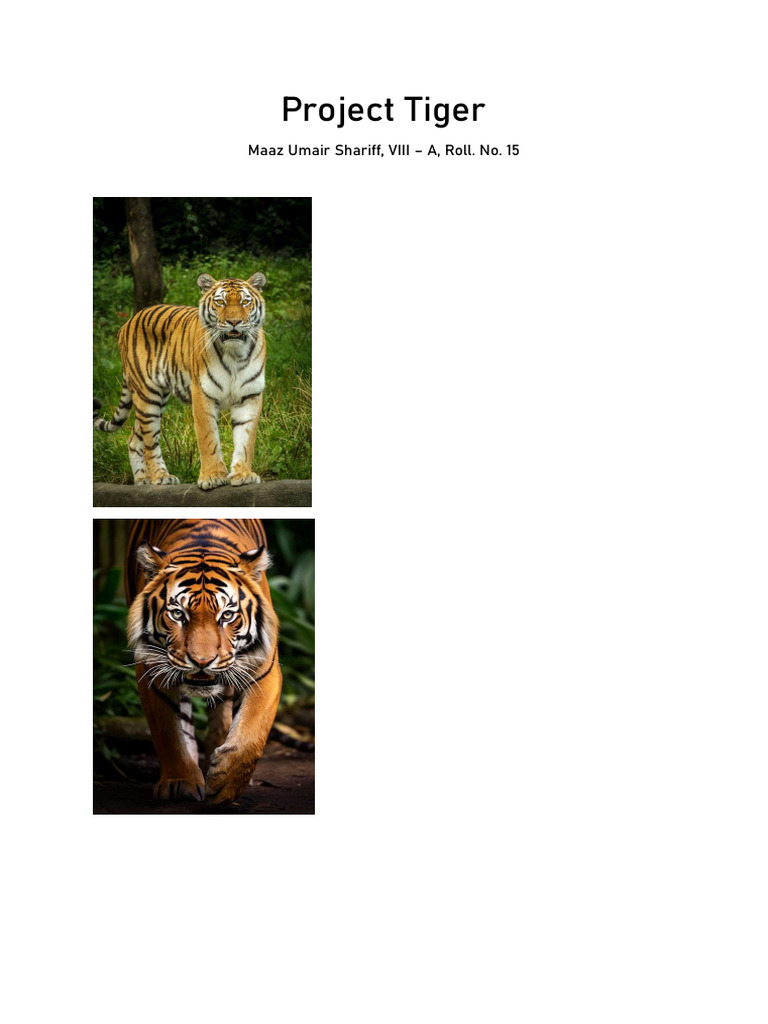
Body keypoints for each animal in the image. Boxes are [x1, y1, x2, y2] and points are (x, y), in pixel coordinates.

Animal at [94, 272, 267, 490]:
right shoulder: (202, 393)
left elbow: (246, 440)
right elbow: (208, 438)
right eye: (220, 302)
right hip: (147, 396)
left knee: (134, 439)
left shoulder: (250, 395)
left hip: (155, 398)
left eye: (245, 302)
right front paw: (212, 477)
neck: (235, 354)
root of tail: (128, 322)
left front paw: (243, 474)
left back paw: (142, 480)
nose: (234, 321)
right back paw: (161, 477)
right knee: (150, 442)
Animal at [125, 518, 283, 803]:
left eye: (227, 615)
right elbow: (169, 733)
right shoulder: (152, 672)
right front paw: (179, 781)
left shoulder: (264, 670)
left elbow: (252, 732)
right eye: (178, 614)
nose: (201, 661)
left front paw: (226, 783)